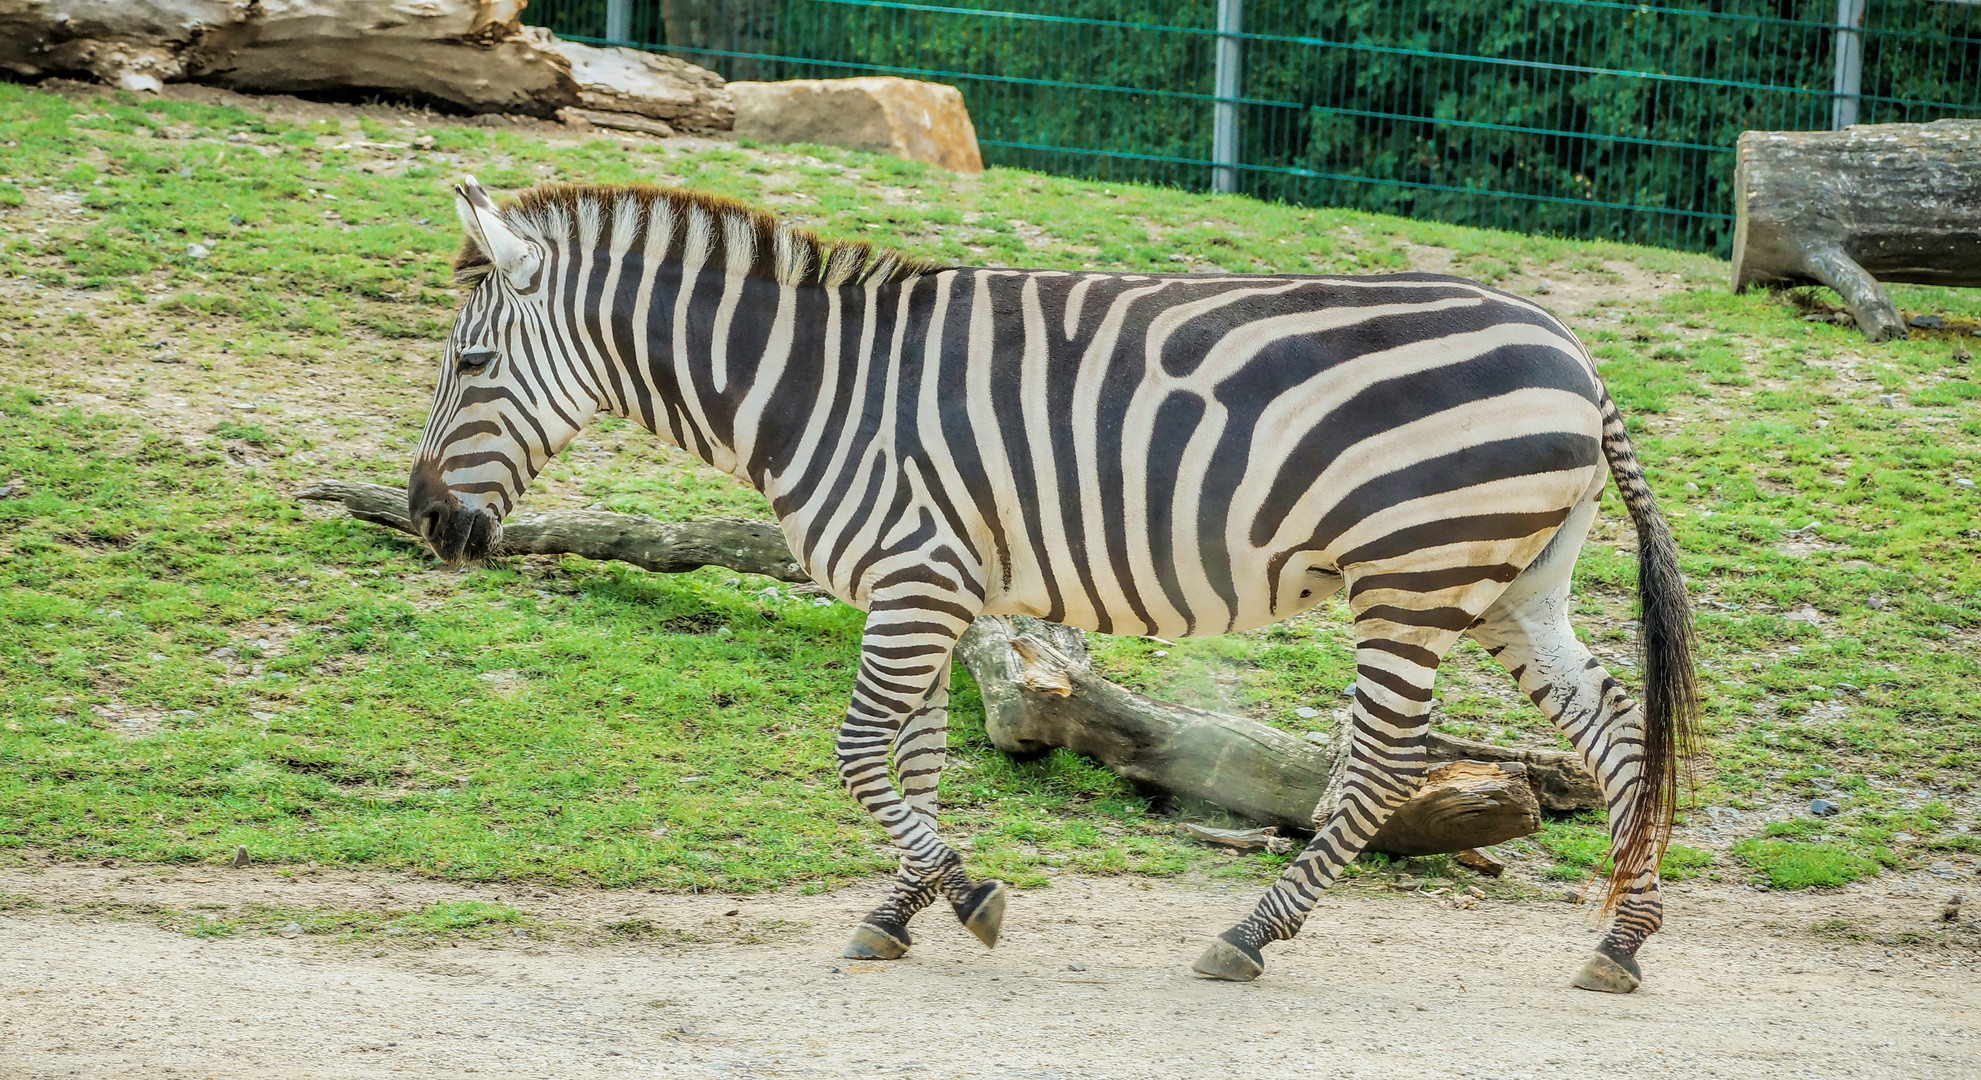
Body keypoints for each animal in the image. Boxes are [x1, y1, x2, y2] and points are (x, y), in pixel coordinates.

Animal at [410, 177, 1699, 993]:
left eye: (469, 364)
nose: (427, 523)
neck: (811, 388)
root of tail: (1578, 358)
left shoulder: (914, 579)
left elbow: (856, 754)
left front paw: (966, 897)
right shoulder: (928, 589)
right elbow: (916, 758)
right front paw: (898, 910)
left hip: (1416, 572)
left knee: (1387, 761)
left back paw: (1248, 935)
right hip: (1510, 583)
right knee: (1618, 733)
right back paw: (1623, 944)